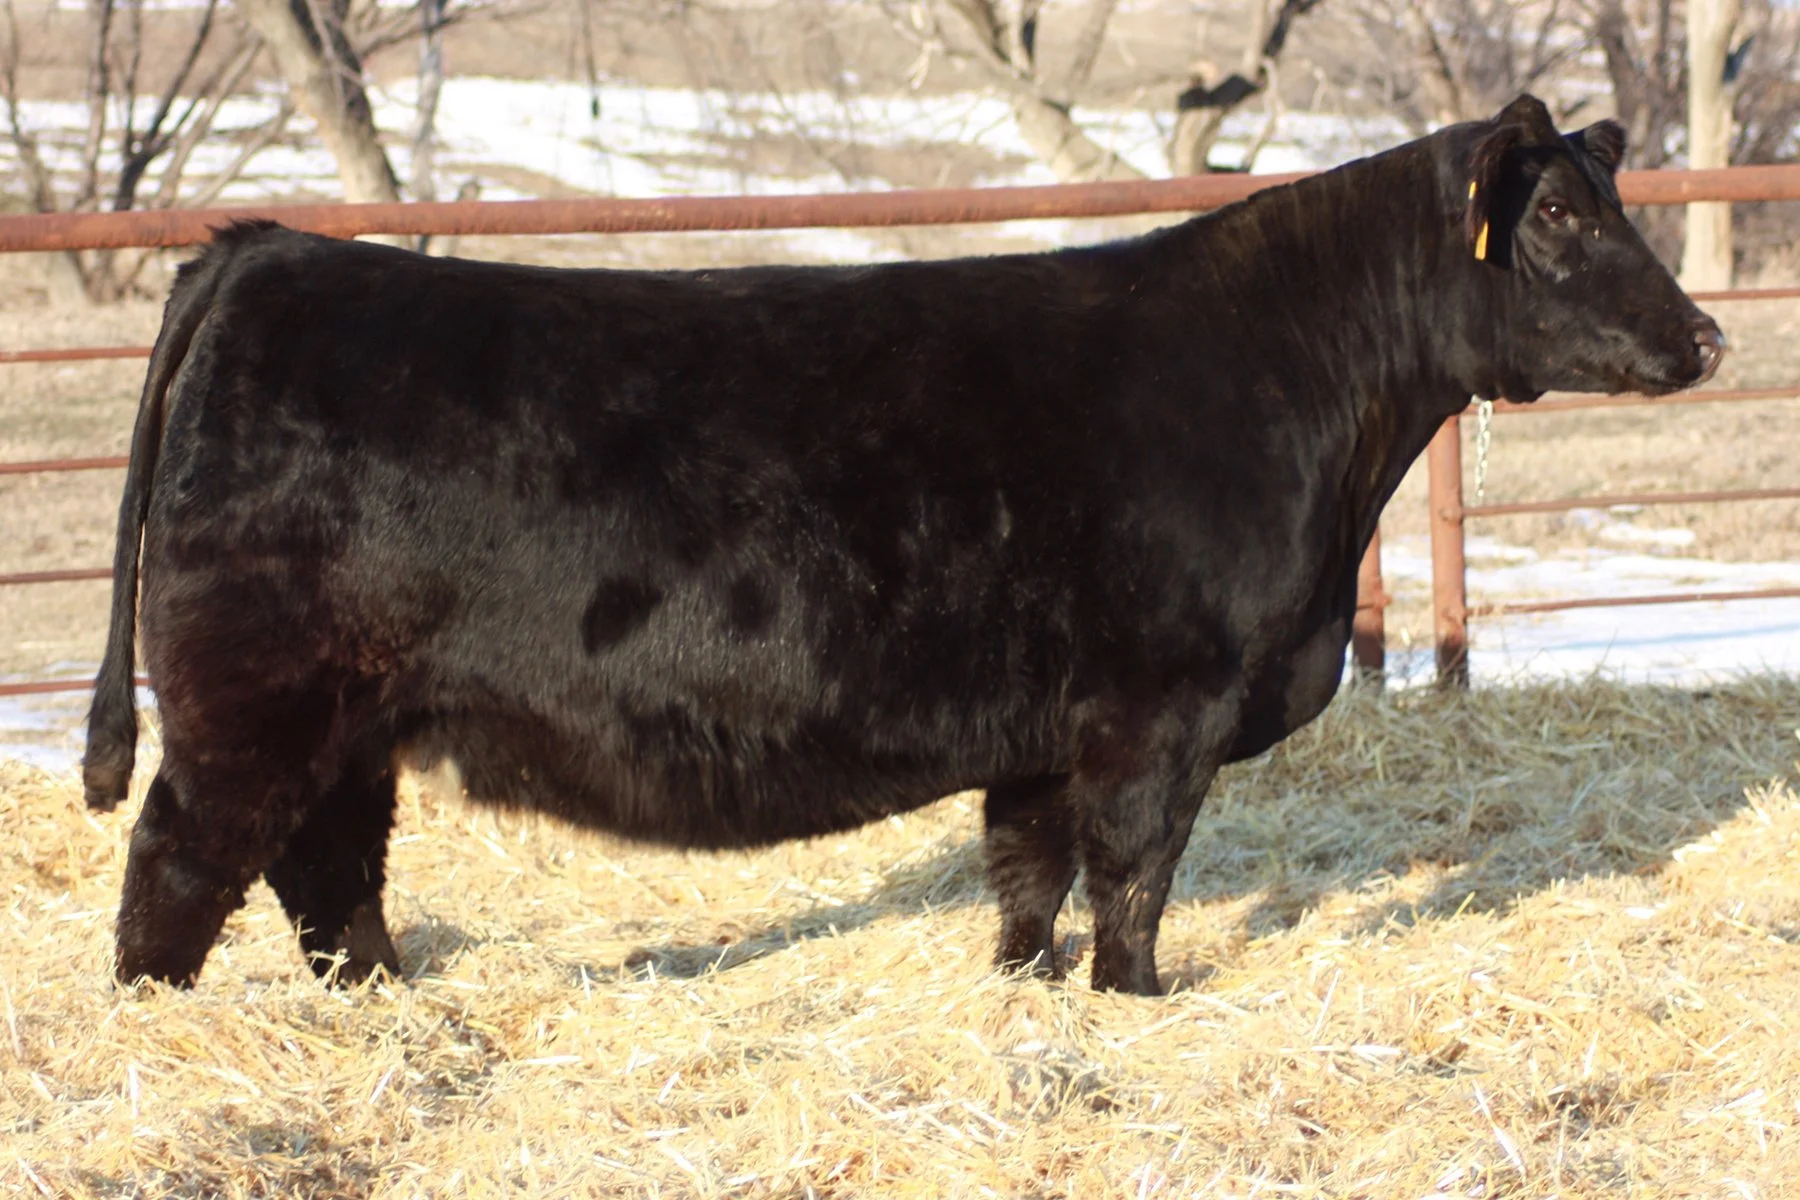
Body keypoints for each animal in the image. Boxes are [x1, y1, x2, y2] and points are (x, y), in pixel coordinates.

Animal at [84, 95, 1722, 995]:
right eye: (1560, 215)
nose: (1705, 336)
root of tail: (266, 251)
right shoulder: (1160, 711)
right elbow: (1134, 882)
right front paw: (1136, 1003)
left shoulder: (1046, 729)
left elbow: (1029, 878)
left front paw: (1028, 994)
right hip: (252, 698)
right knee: (182, 864)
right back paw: (164, 1028)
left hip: (351, 715)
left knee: (328, 872)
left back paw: (385, 1003)